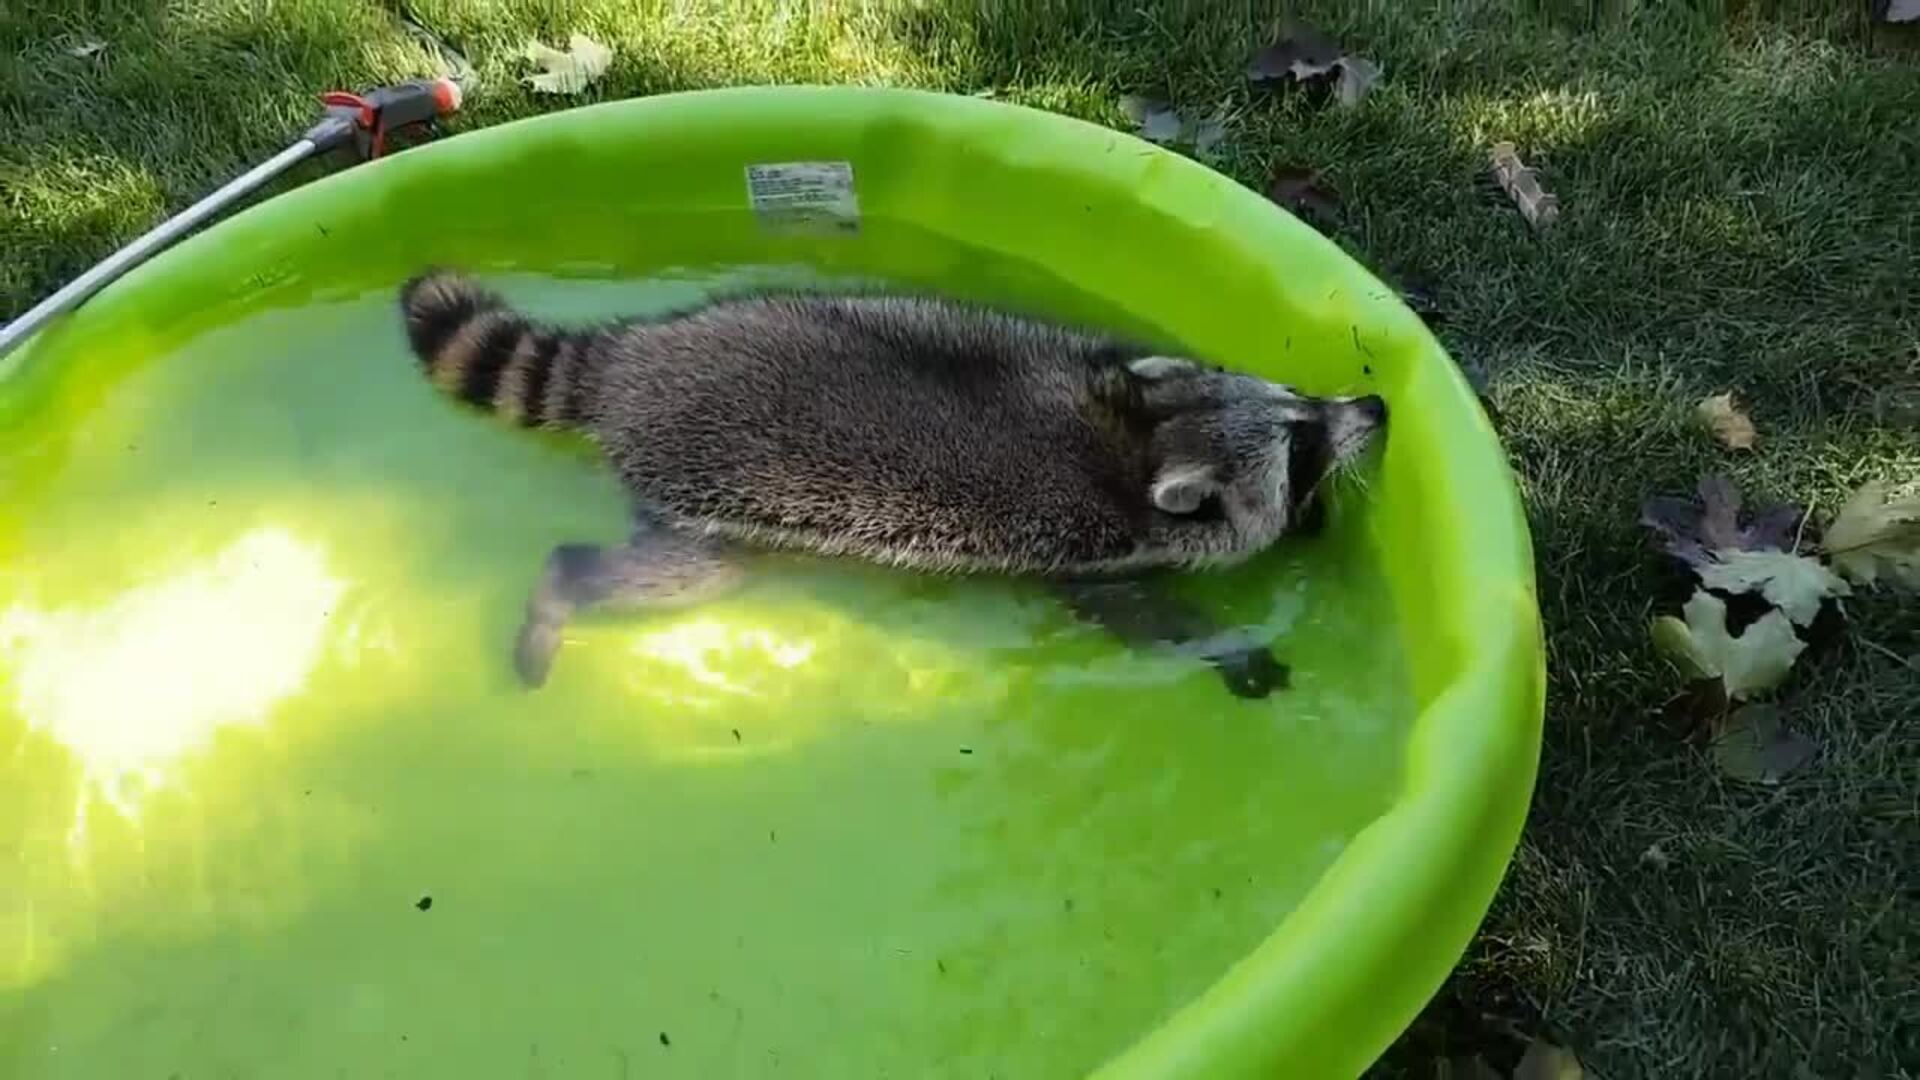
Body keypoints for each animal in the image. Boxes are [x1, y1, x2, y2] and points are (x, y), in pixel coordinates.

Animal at [399, 272, 1386, 697]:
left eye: (1300, 404)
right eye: (1300, 443)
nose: (1374, 406)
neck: (1140, 441)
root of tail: (632, 367)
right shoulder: (1097, 550)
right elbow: (1144, 617)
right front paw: (1229, 648)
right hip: (702, 491)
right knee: (677, 572)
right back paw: (561, 587)